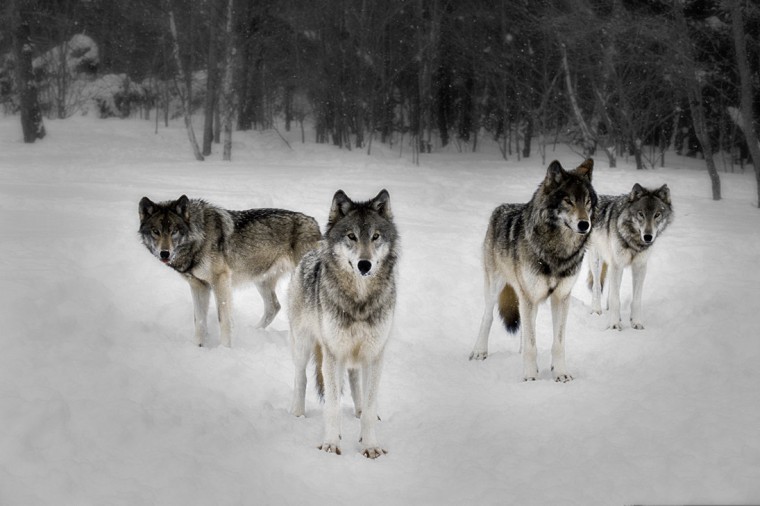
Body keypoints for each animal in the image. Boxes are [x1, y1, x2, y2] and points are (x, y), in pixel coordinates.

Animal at [138, 195, 321, 347]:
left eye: (174, 231)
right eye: (156, 231)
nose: (164, 253)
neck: (199, 239)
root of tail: (314, 223)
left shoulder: (220, 280)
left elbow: (223, 319)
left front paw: (225, 349)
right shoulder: (198, 286)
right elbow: (199, 320)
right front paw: (198, 347)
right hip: (261, 281)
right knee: (274, 307)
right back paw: (254, 331)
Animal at [288, 189, 398, 459]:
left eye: (375, 236)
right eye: (351, 236)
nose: (364, 264)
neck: (359, 300)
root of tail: (312, 250)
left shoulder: (374, 354)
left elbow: (369, 406)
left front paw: (370, 445)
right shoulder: (333, 353)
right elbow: (332, 405)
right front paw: (331, 444)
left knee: (355, 380)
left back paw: (357, 411)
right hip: (305, 345)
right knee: (301, 377)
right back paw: (297, 413)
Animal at [469, 160, 597, 382]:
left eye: (588, 202)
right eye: (568, 201)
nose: (584, 224)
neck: (558, 252)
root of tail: (500, 208)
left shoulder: (561, 297)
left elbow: (558, 343)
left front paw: (560, 373)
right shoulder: (529, 296)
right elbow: (531, 344)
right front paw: (530, 377)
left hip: (528, 298)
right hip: (497, 287)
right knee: (488, 316)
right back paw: (479, 351)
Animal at [587, 183, 673, 330]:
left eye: (657, 215)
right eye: (641, 214)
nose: (648, 237)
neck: (634, 241)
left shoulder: (639, 267)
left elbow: (636, 299)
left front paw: (636, 323)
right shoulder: (617, 264)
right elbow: (615, 299)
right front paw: (614, 324)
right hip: (597, 260)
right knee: (597, 286)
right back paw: (596, 310)